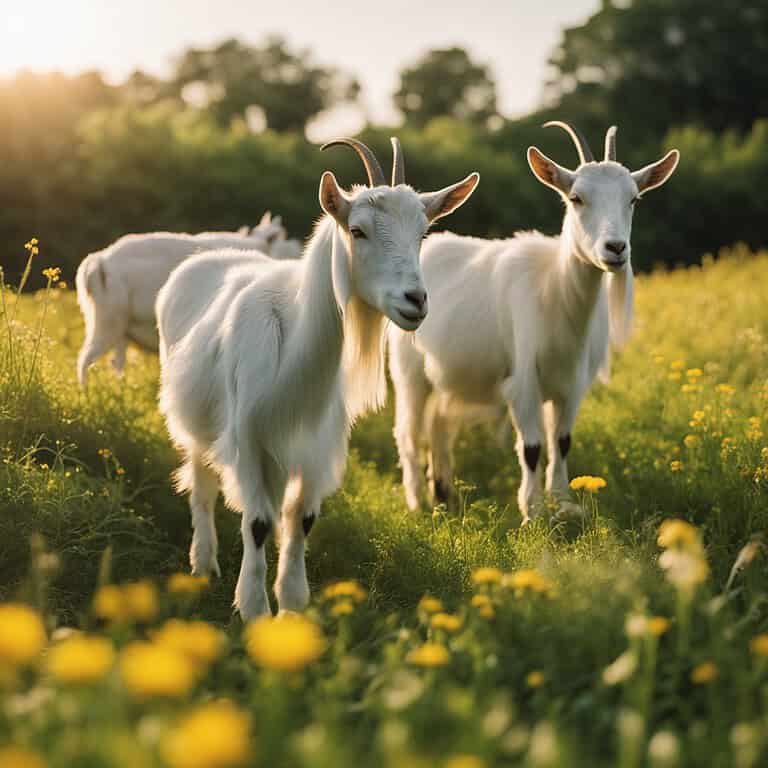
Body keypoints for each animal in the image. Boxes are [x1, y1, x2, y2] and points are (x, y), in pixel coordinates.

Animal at [156, 138, 479, 618]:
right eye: (358, 231)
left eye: (423, 233)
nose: (416, 301)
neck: (294, 352)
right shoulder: (248, 439)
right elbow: (257, 522)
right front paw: (253, 609)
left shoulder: (315, 445)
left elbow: (300, 520)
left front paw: (291, 606)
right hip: (198, 424)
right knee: (201, 486)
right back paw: (204, 567)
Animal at [389, 122, 678, 522]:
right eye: (576, 198)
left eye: (633, 199)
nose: (616, 249)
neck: (557, 294)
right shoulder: (523, 380)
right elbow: (532, 446)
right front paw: (533, 512)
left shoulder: (573, 384)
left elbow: (562, 440)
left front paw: (563, 503)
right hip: (409, 372)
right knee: (408, 432)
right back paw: (417, 503)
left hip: (448, 379)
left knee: (440, 425)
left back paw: (444, 498)